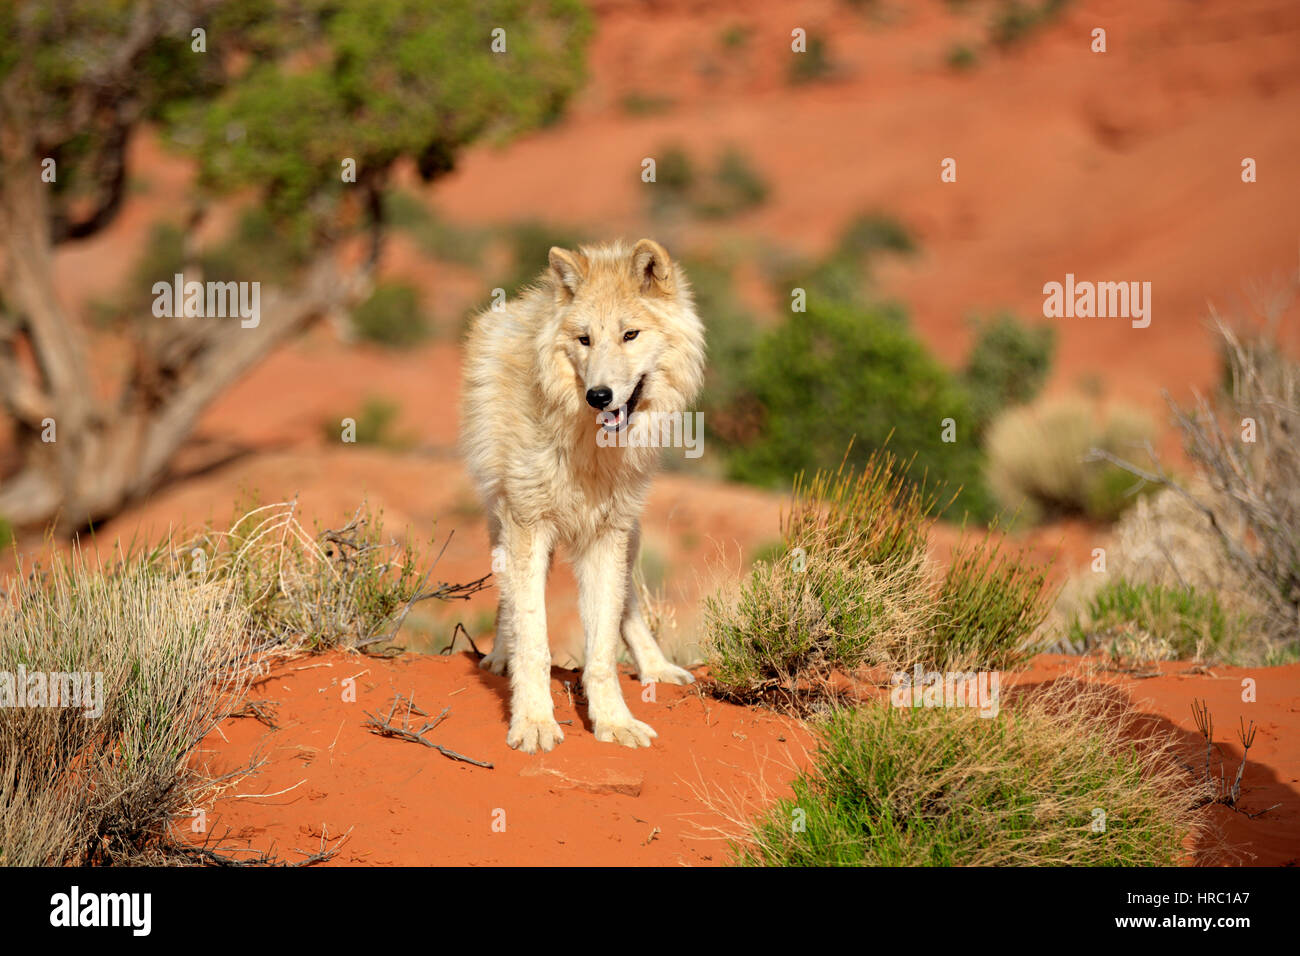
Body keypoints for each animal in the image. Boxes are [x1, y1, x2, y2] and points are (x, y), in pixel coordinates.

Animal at [460, 238, 705, 753]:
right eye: (584, 339)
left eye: (630, 335)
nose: (599, 395)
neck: (589, 448)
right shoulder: (527, 525)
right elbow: (533, 638)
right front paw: (533, 722)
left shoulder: (606, 536)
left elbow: (603, 651)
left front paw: (614, 722)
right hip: (502, 524)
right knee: (509, 603)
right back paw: (498, 658)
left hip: (630, 534)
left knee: (628, 606)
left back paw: (657, 667)